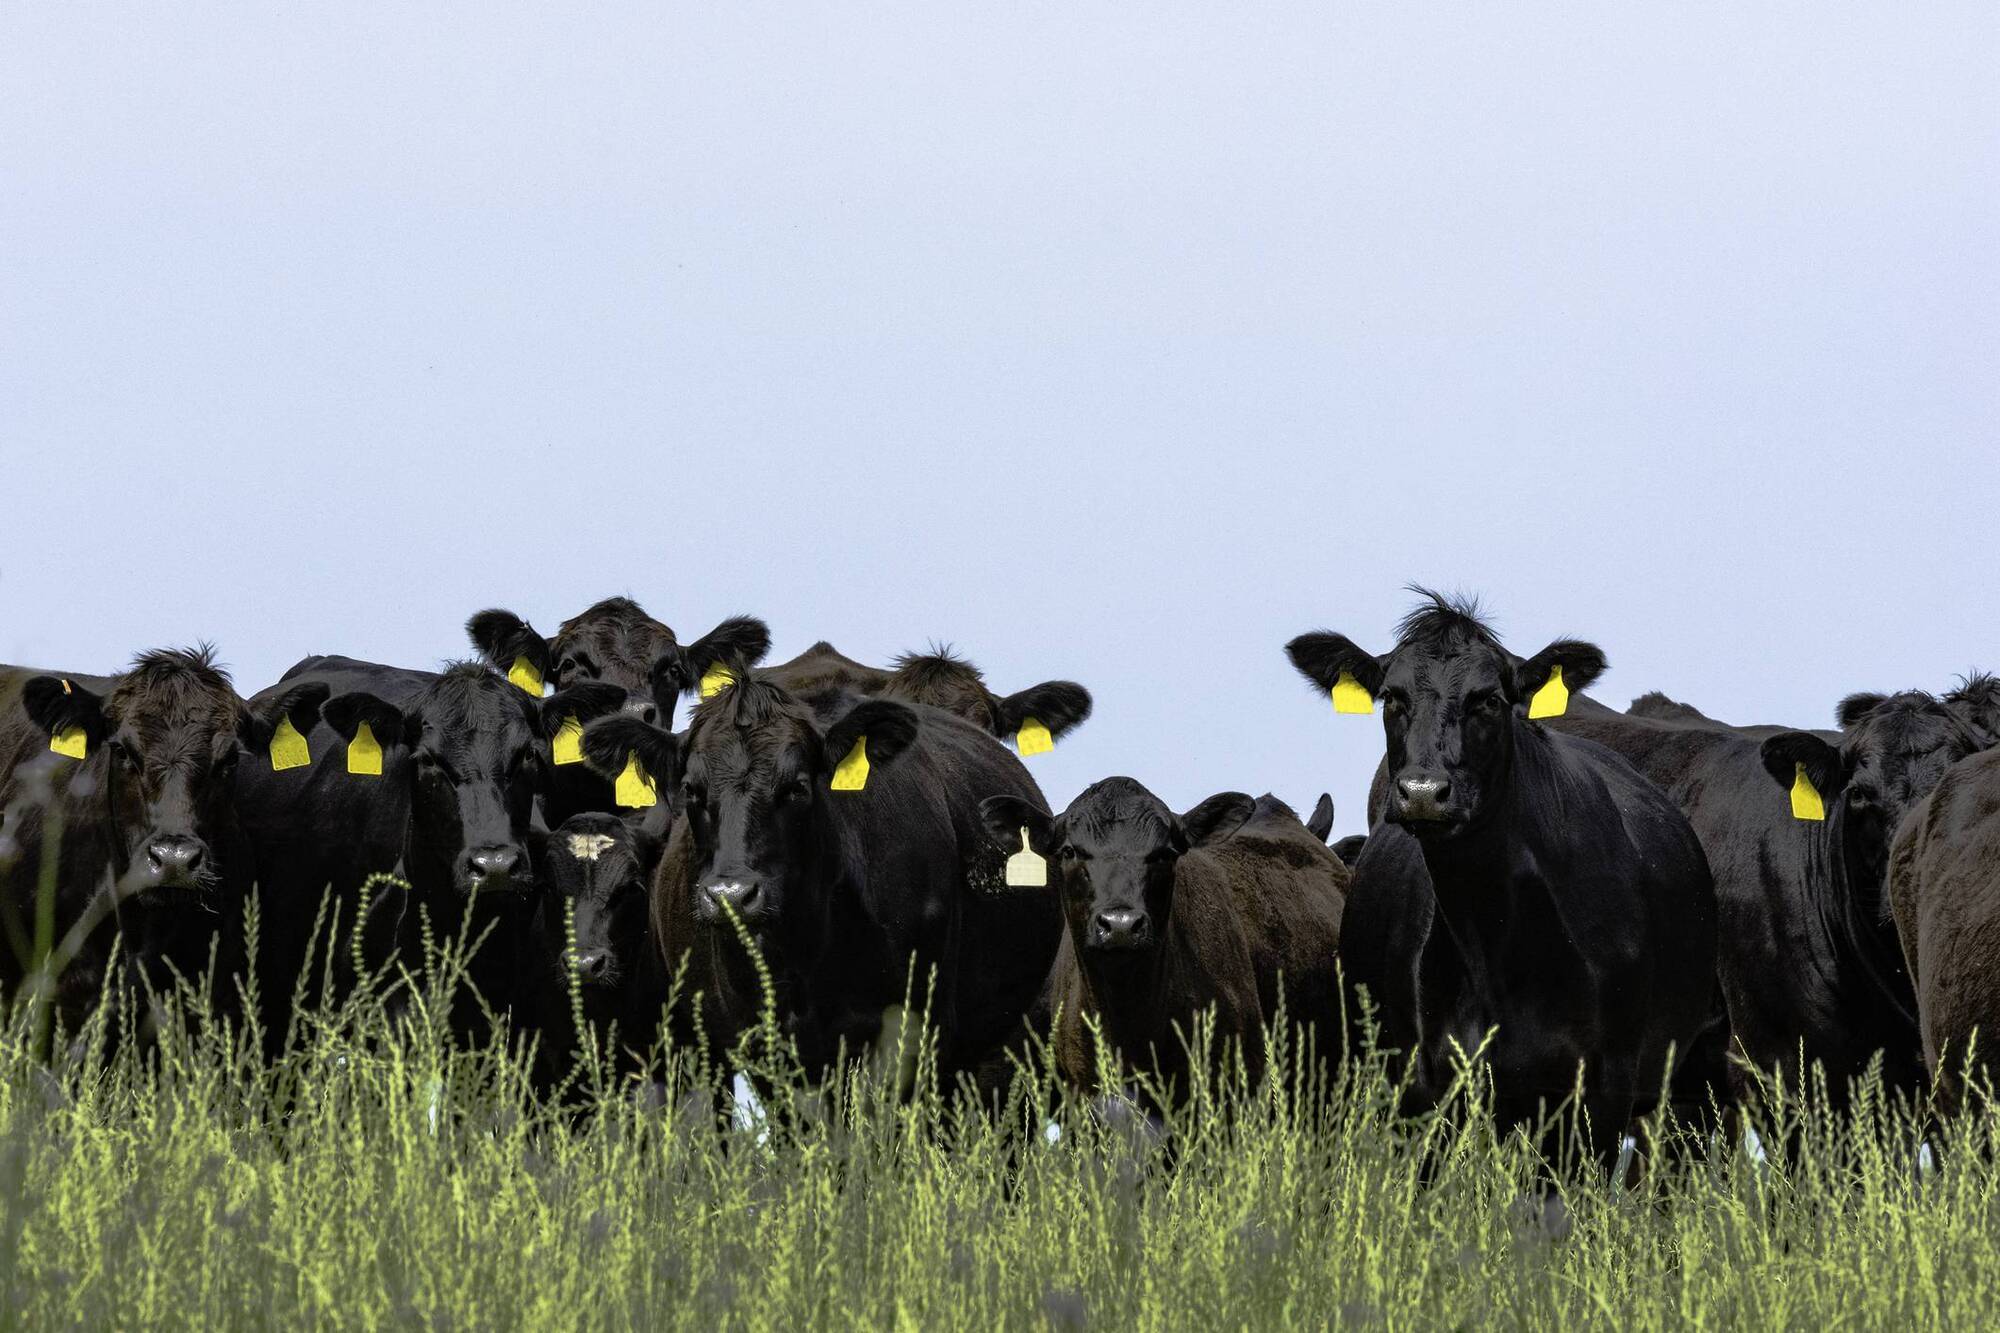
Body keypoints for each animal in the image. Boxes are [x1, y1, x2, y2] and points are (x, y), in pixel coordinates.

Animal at [1285, 591, 1718, 1156]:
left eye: (1488, 699)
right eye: (1391, 698)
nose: (1422, 792)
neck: (1496, 939)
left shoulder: (1600, 1095)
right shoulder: (1428, 1090)